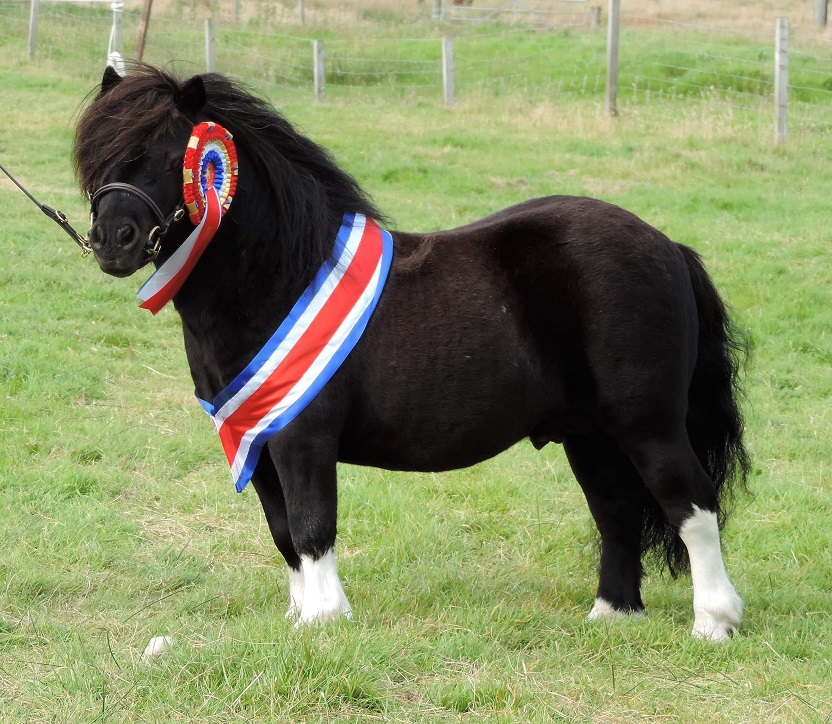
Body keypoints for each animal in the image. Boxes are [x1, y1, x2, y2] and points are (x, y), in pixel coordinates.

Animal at [73, 63, 749, 640]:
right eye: (94, 156)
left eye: (169, 154)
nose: (112, 241)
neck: (280, 275)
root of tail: (667, 246)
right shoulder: (254, 440)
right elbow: (283, 531)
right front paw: (300, 619)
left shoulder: (301, 436)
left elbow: (313, 525)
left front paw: (324, 620)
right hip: (588, 432)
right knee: (616, 511)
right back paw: (611, 614)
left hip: (646, 422)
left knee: (690, 502)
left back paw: (714, 621)